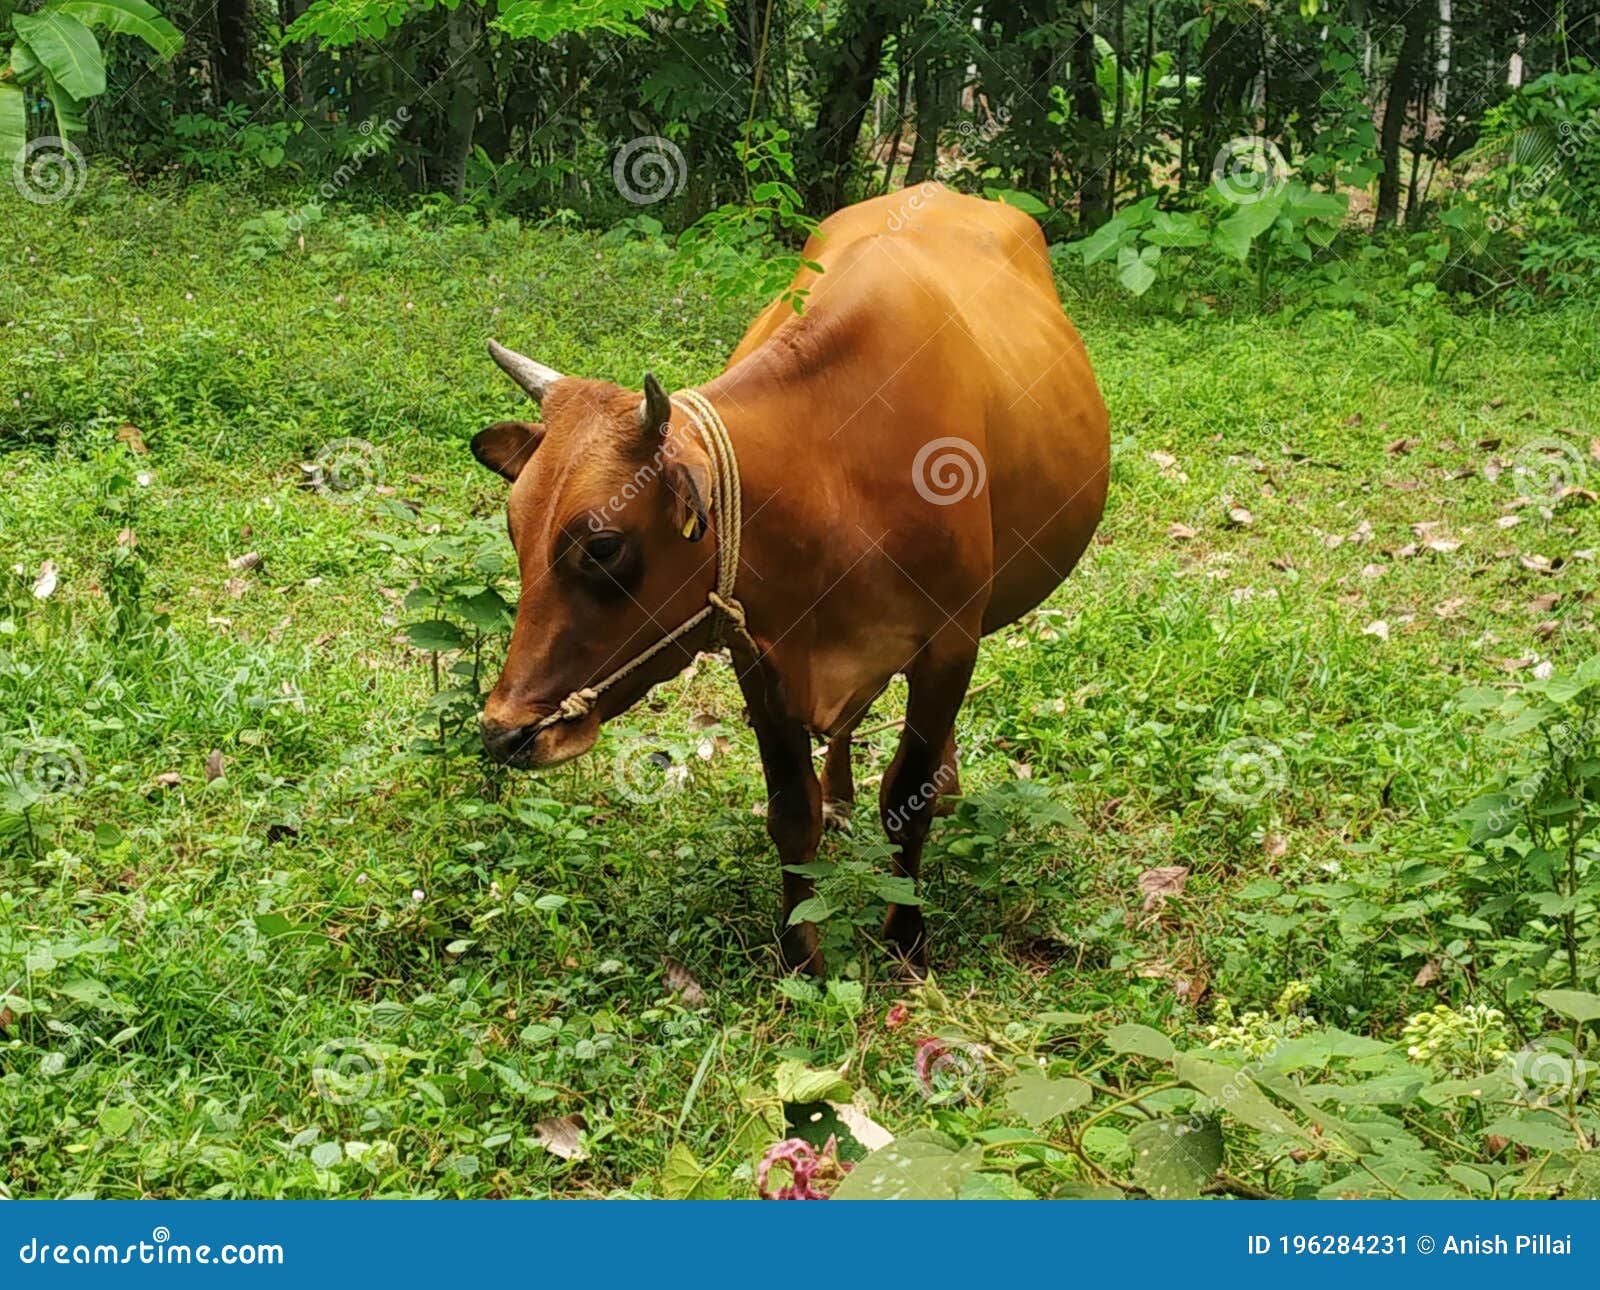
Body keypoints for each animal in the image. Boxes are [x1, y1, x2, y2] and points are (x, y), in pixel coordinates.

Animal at [472, 185, 1109, 974]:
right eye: (514, 527)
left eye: (604, 546)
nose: (504, 732)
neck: (833, 478)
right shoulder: (757, 650)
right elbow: (790, 809)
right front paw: (800, 954)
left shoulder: (950, 644)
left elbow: (908, 799)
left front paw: (906, 939)